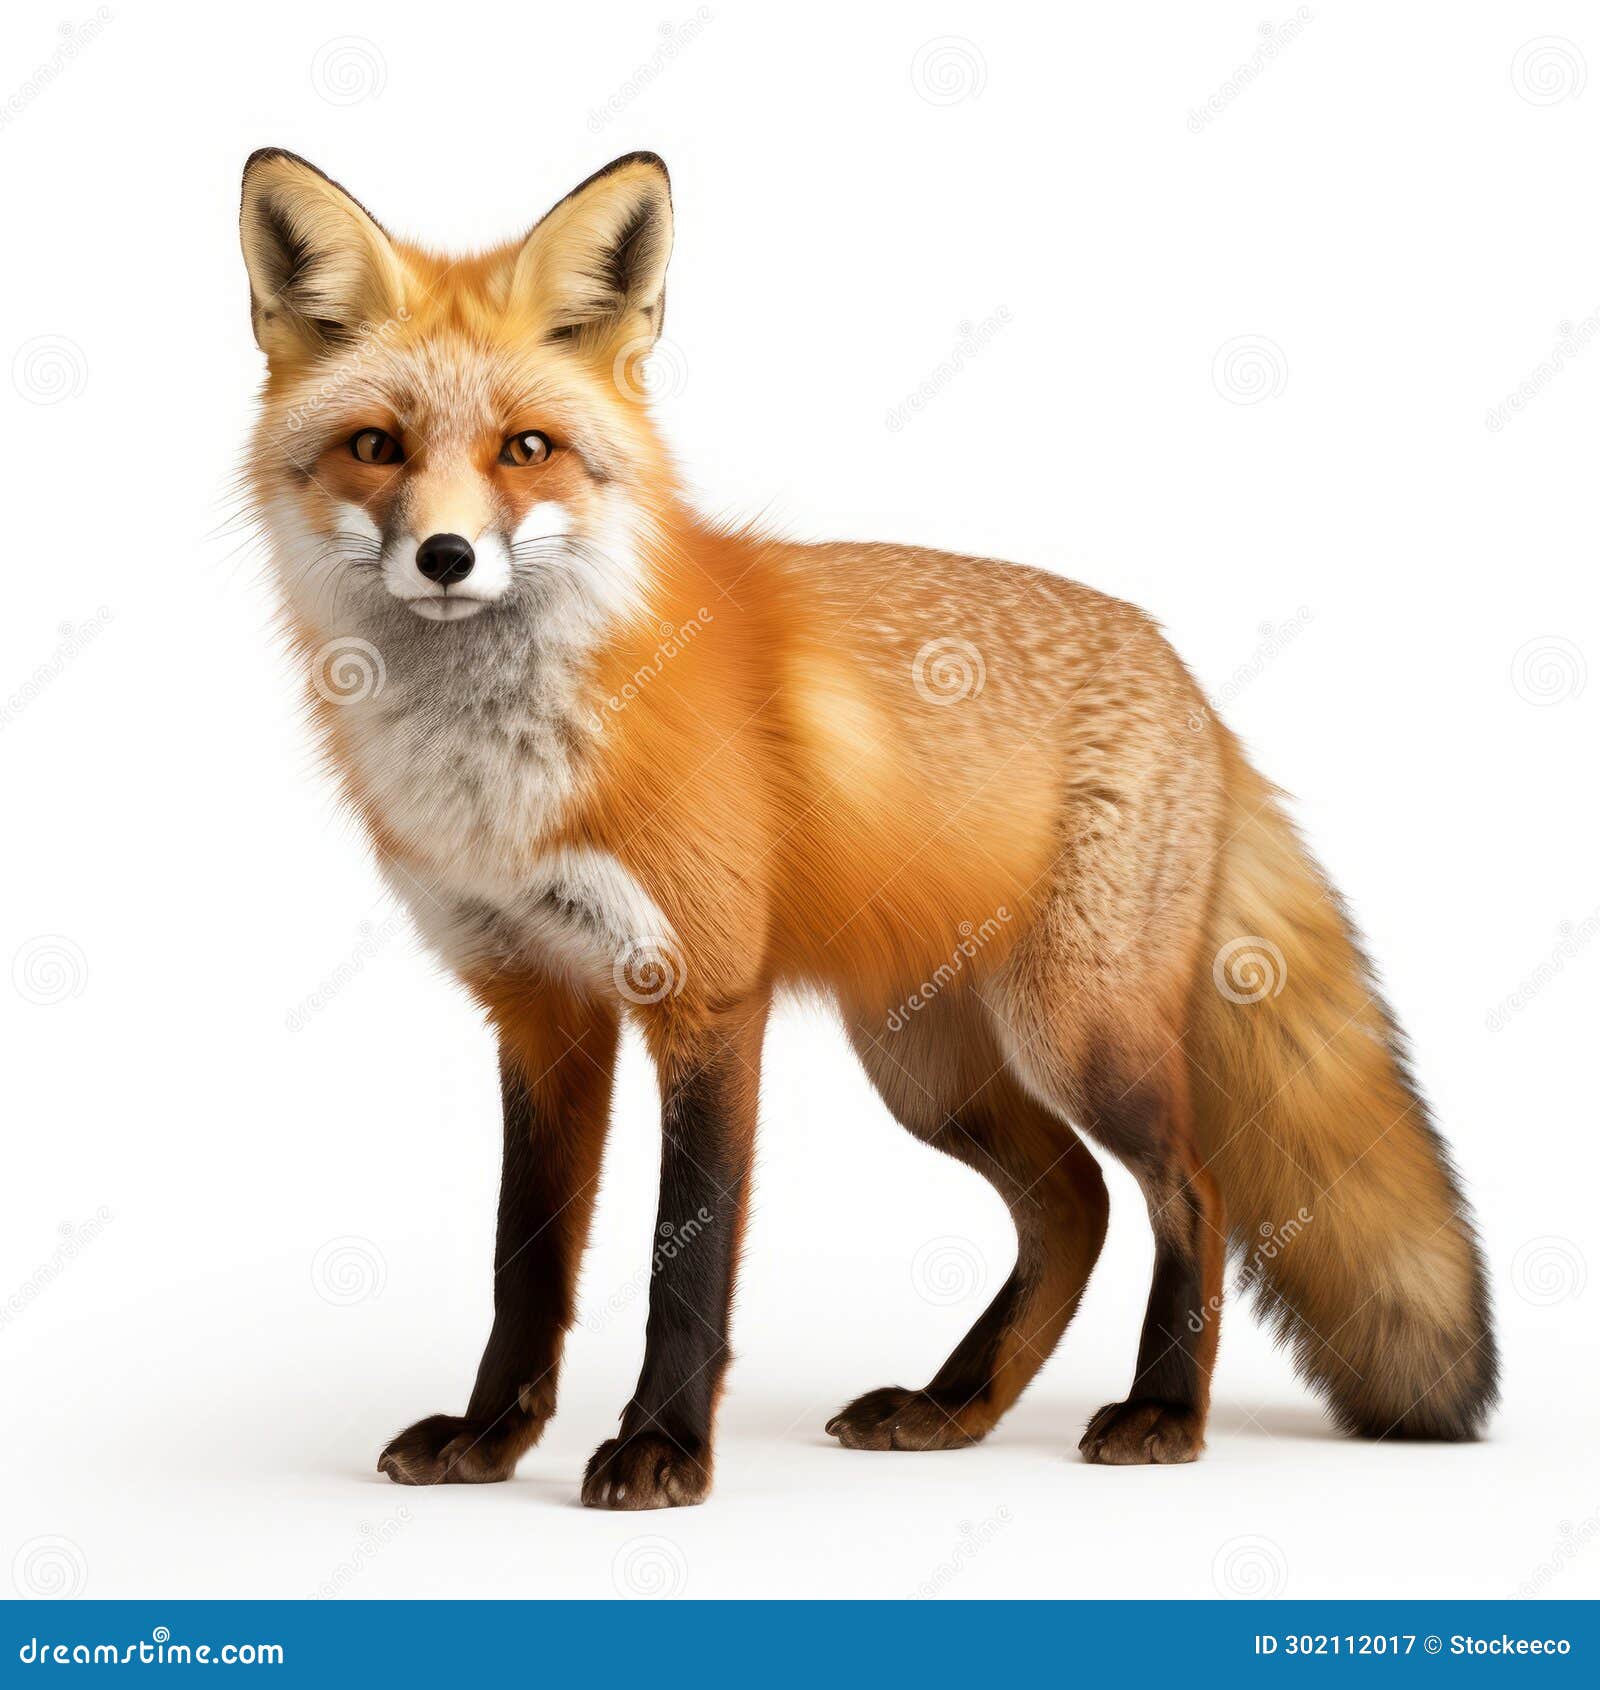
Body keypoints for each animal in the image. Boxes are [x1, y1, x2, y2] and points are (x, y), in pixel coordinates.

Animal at [238, 148, 1496, 1509]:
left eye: (527, 448)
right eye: (376, 446)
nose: (445, 555)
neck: (505, 768)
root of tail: (1190, 684)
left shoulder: (703, 994)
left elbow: (684, 1261)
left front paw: (663, 1447)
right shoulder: (538, 1004)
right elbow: (525, 1261)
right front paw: (490, 1436)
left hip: (1075, 1035)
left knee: (1190, 1189)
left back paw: (1162, 1407)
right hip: (928, 1064)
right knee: (1073, 1205)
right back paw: (954, 1405)